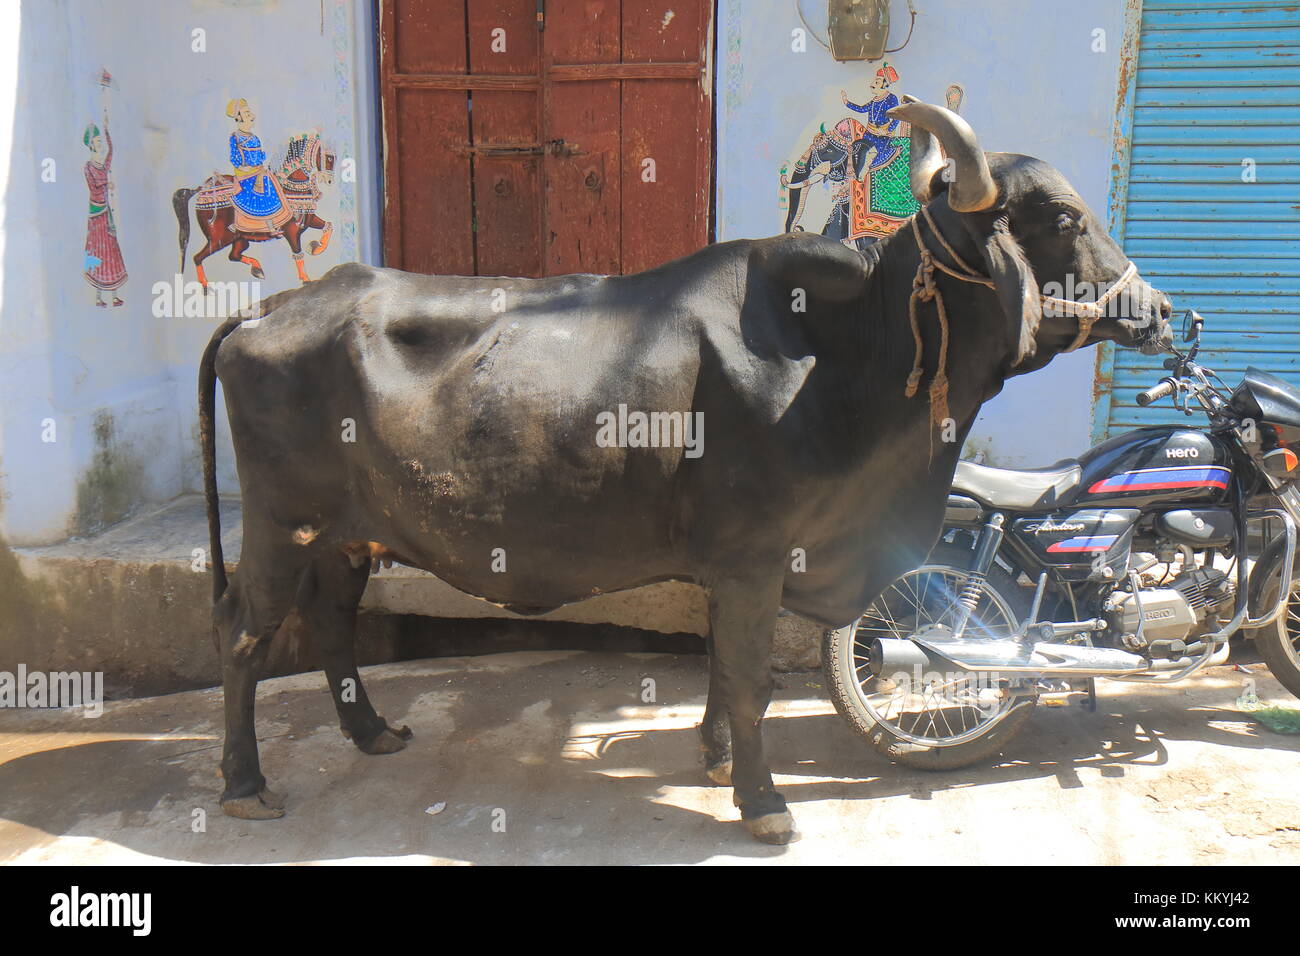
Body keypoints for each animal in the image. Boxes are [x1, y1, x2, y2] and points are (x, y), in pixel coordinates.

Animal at [199, 100, 1174, 844]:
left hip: (345, 536)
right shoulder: (753, 559)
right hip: (280, 525)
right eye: (1060, 217)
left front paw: (714, 759)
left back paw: (371, 734)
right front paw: (763, 801)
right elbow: (747, 682)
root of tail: (281, 302)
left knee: (331, 624)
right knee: (245, 636)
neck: (844, 353)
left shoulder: (739, 563)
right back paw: (244, 785)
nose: (1163, 311)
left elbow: (720, 672)